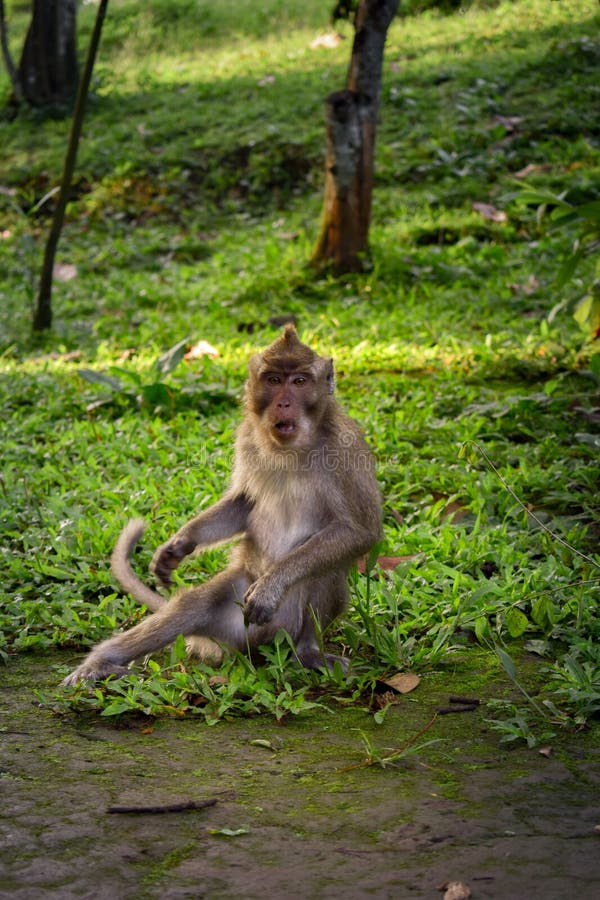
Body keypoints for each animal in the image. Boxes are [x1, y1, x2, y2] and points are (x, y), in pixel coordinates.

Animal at [62, 325, 382, 685]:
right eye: (274, 380)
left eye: (300, 381)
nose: (284, 402)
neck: (292, 448)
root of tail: (264, 643)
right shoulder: (247, 438)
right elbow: (243, 502)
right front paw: (180, 544)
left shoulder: (346, 449)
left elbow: (359, 531)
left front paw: (271, 585)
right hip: (231, 611)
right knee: (191, 608)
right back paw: (101, 662)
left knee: (328, 567)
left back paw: (307, 653)